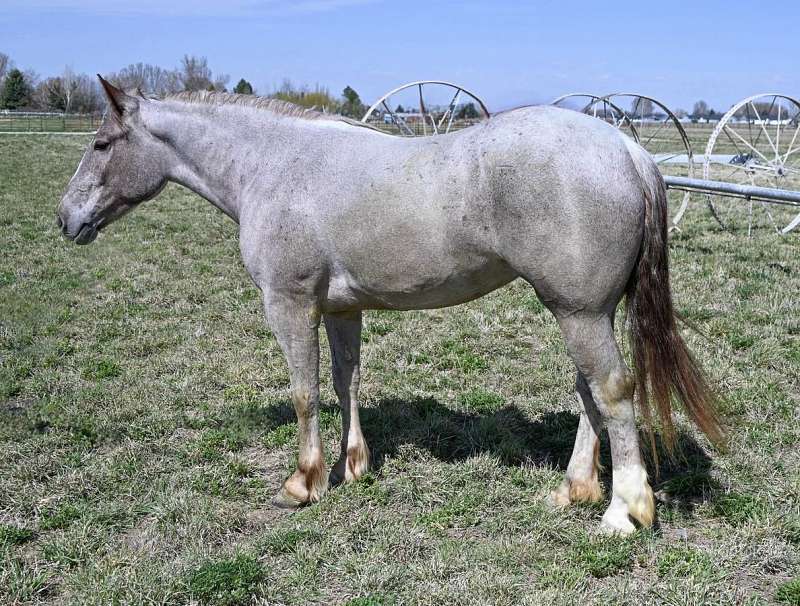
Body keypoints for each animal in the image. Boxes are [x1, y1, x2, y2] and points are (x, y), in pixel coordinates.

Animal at [56, 76, 723, 534]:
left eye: (102, 143)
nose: (66, 219)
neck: (273, 166)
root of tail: (629, 152)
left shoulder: (289, 303)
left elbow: (305, 392)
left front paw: (303, 483)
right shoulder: (340, 309)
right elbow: (346, 381)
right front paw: (352, 466)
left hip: (578, 312)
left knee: (611, 391)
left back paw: (623, 512)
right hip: (581, 311)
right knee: (590, 392)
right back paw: (574, 489)